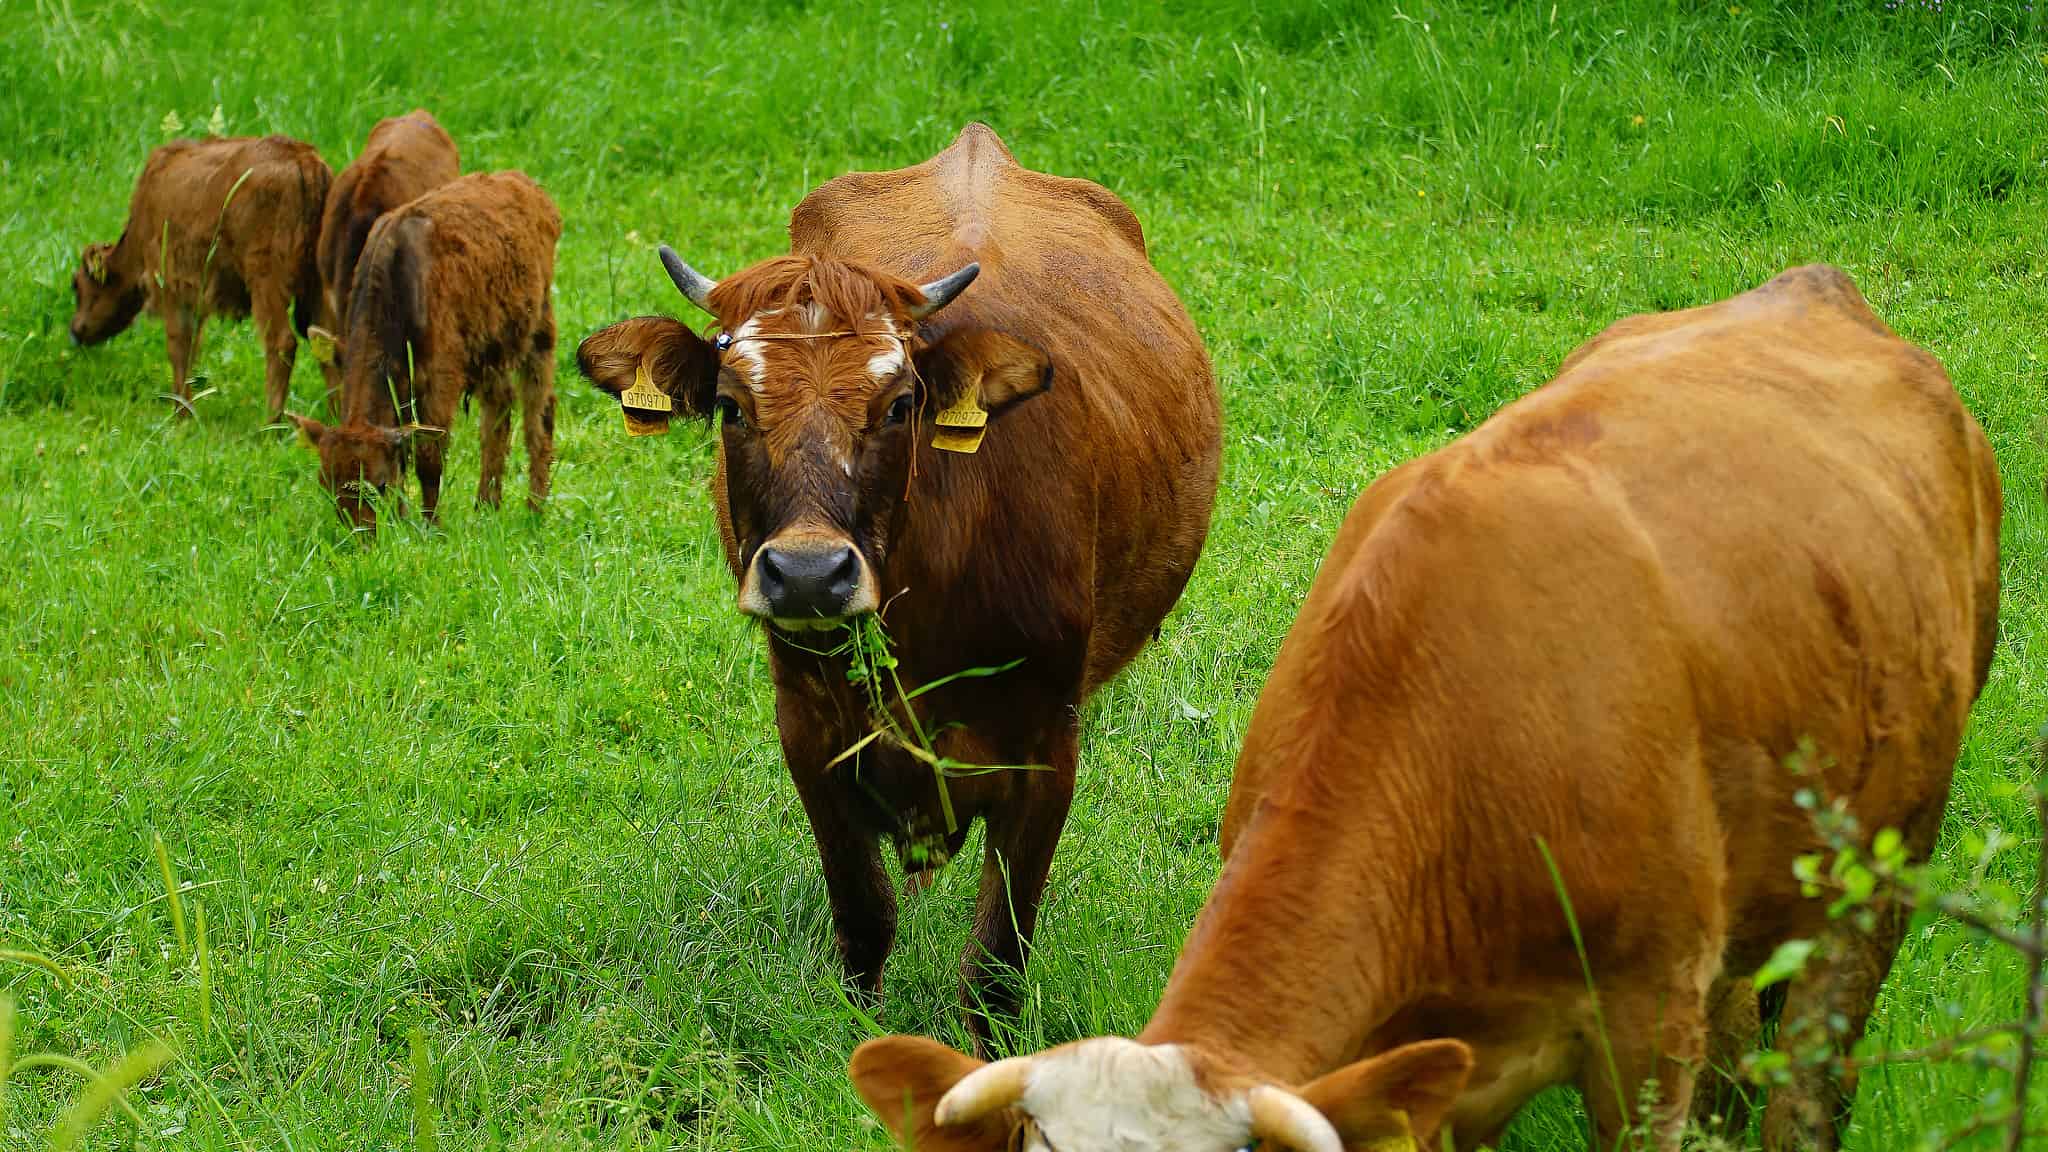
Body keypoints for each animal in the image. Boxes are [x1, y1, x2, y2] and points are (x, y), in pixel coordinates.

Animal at [70, 135, 331, 421]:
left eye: (77, 286)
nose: (75, 330)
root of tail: (303, 159)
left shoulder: (172, 287)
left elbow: (178, 346)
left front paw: (181, 413)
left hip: (265, 281)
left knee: (282, 343)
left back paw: (271, 422)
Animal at [285, 171, 559, 534]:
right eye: (326, 485)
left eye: (378, 484)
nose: (360, 537)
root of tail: (526, 186)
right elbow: (404, 454)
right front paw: (401, 520)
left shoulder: (441, 377)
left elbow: (428, 457)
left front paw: (432, 528)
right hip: (491, 349)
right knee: (499, 412)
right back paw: (487, 505)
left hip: (538, 328)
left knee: (539, 415)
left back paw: (535, 508)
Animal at [576, 123, 1222, 1043]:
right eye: (732, 407)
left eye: (898, 404)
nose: (809, 574)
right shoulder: (809, 733)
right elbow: (864, 917)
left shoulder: (1047, 747)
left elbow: (996, 959)